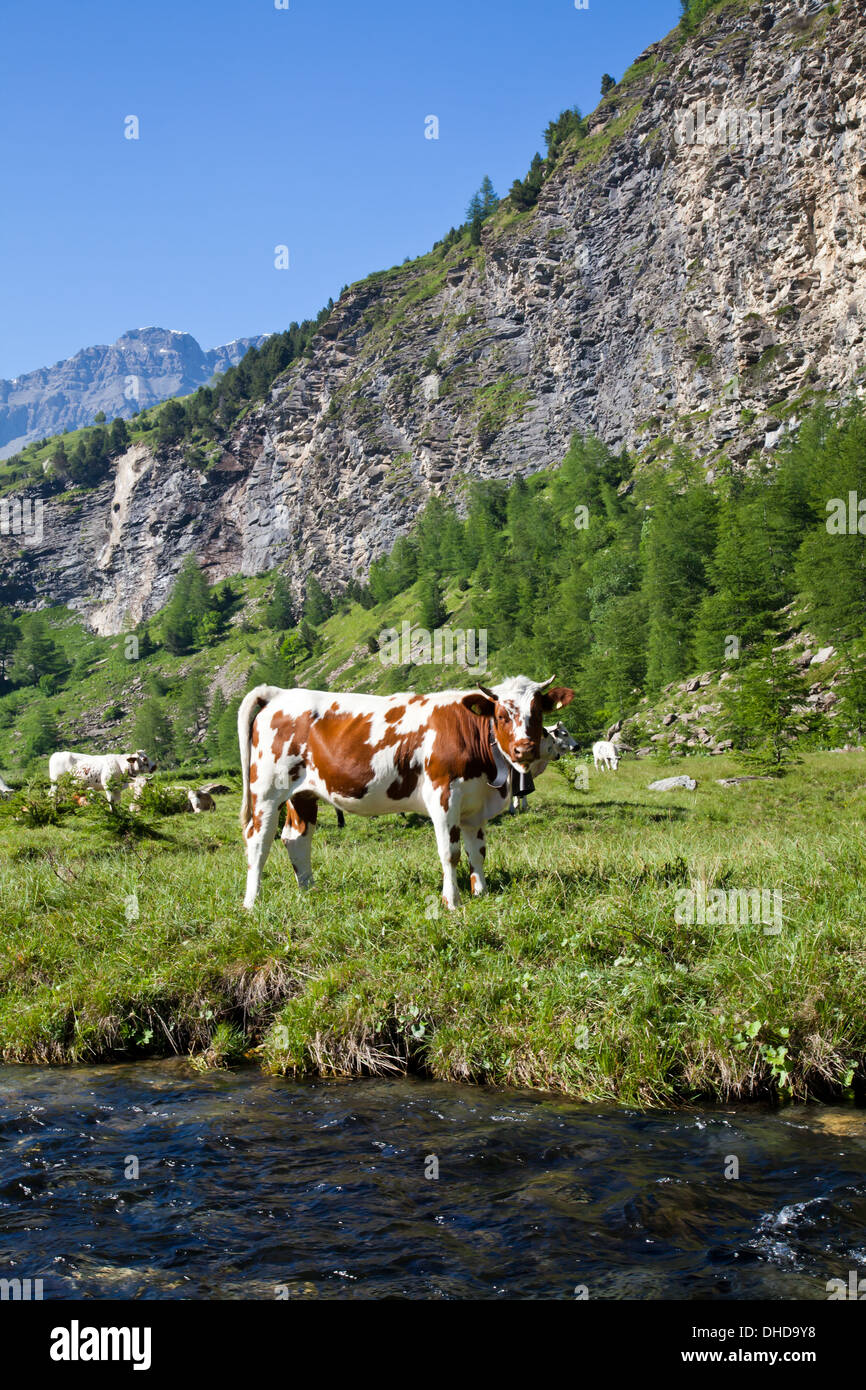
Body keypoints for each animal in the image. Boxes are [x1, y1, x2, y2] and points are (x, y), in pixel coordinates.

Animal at [237, 675, 573, 910]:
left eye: (537, 714)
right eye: (502, 715)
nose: (524, 749)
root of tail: (280, 693)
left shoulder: (474, 804)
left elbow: (477, 852)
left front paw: (482, 893)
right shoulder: (444, 796)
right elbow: (450, 853)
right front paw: (452, 902)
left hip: (302, 794)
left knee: (297, 838)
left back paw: (308, 891)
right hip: (266, 791)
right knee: (258, 840)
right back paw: (252, 902)